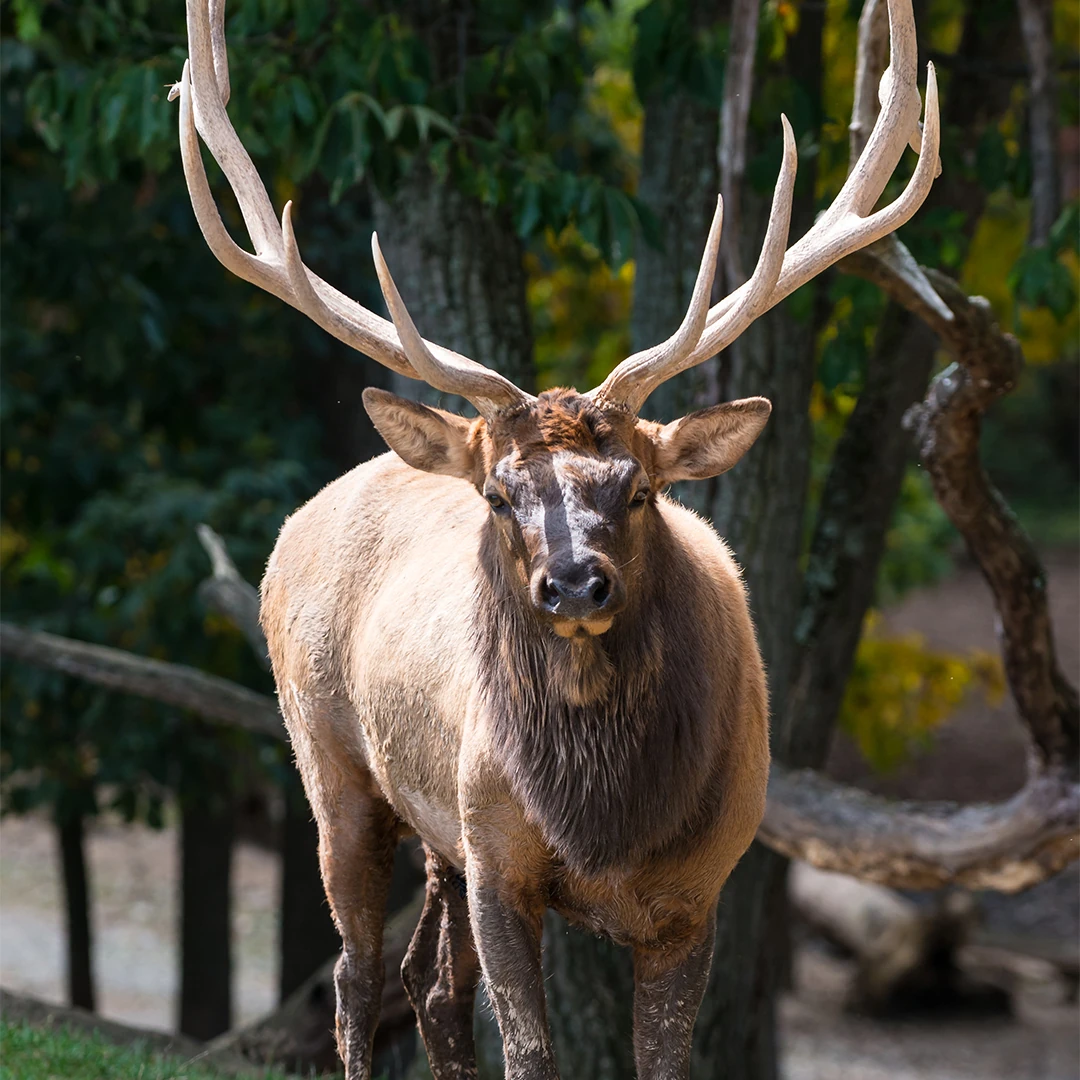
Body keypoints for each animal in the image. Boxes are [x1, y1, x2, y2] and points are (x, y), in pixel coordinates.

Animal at [173, 1, 939, 1076]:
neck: (604, 827)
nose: (575, 585)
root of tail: (305, 516)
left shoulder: (701, 888)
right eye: (500, 494)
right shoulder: (498, 855)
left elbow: (661, 1059)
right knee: (355, 981)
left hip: (435, 829)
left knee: (430, 987)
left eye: (641, 489)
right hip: (330, 764)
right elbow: (530, 1051)